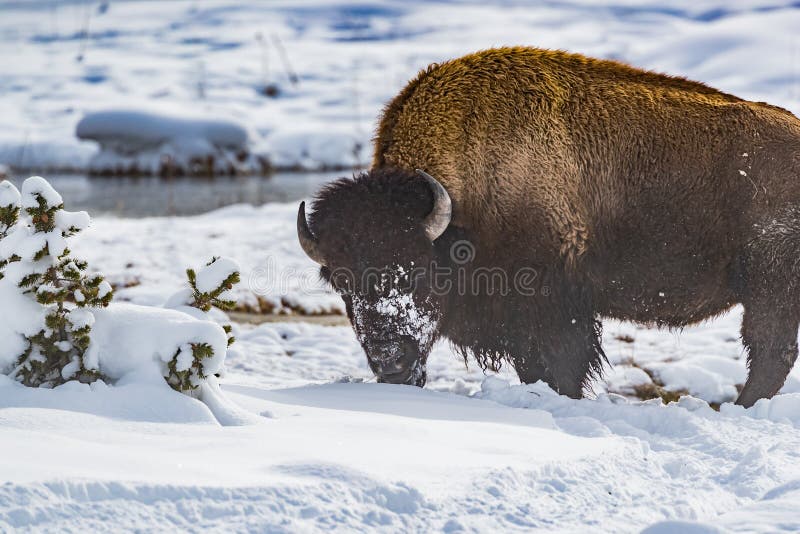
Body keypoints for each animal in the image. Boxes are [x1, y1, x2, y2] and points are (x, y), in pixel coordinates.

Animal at [297, 47, 800, 407]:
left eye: (417, 271)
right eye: (342, 282)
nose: (390, 363)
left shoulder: (553, 302)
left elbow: (562, 364)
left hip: (768, 286)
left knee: (769, 352)